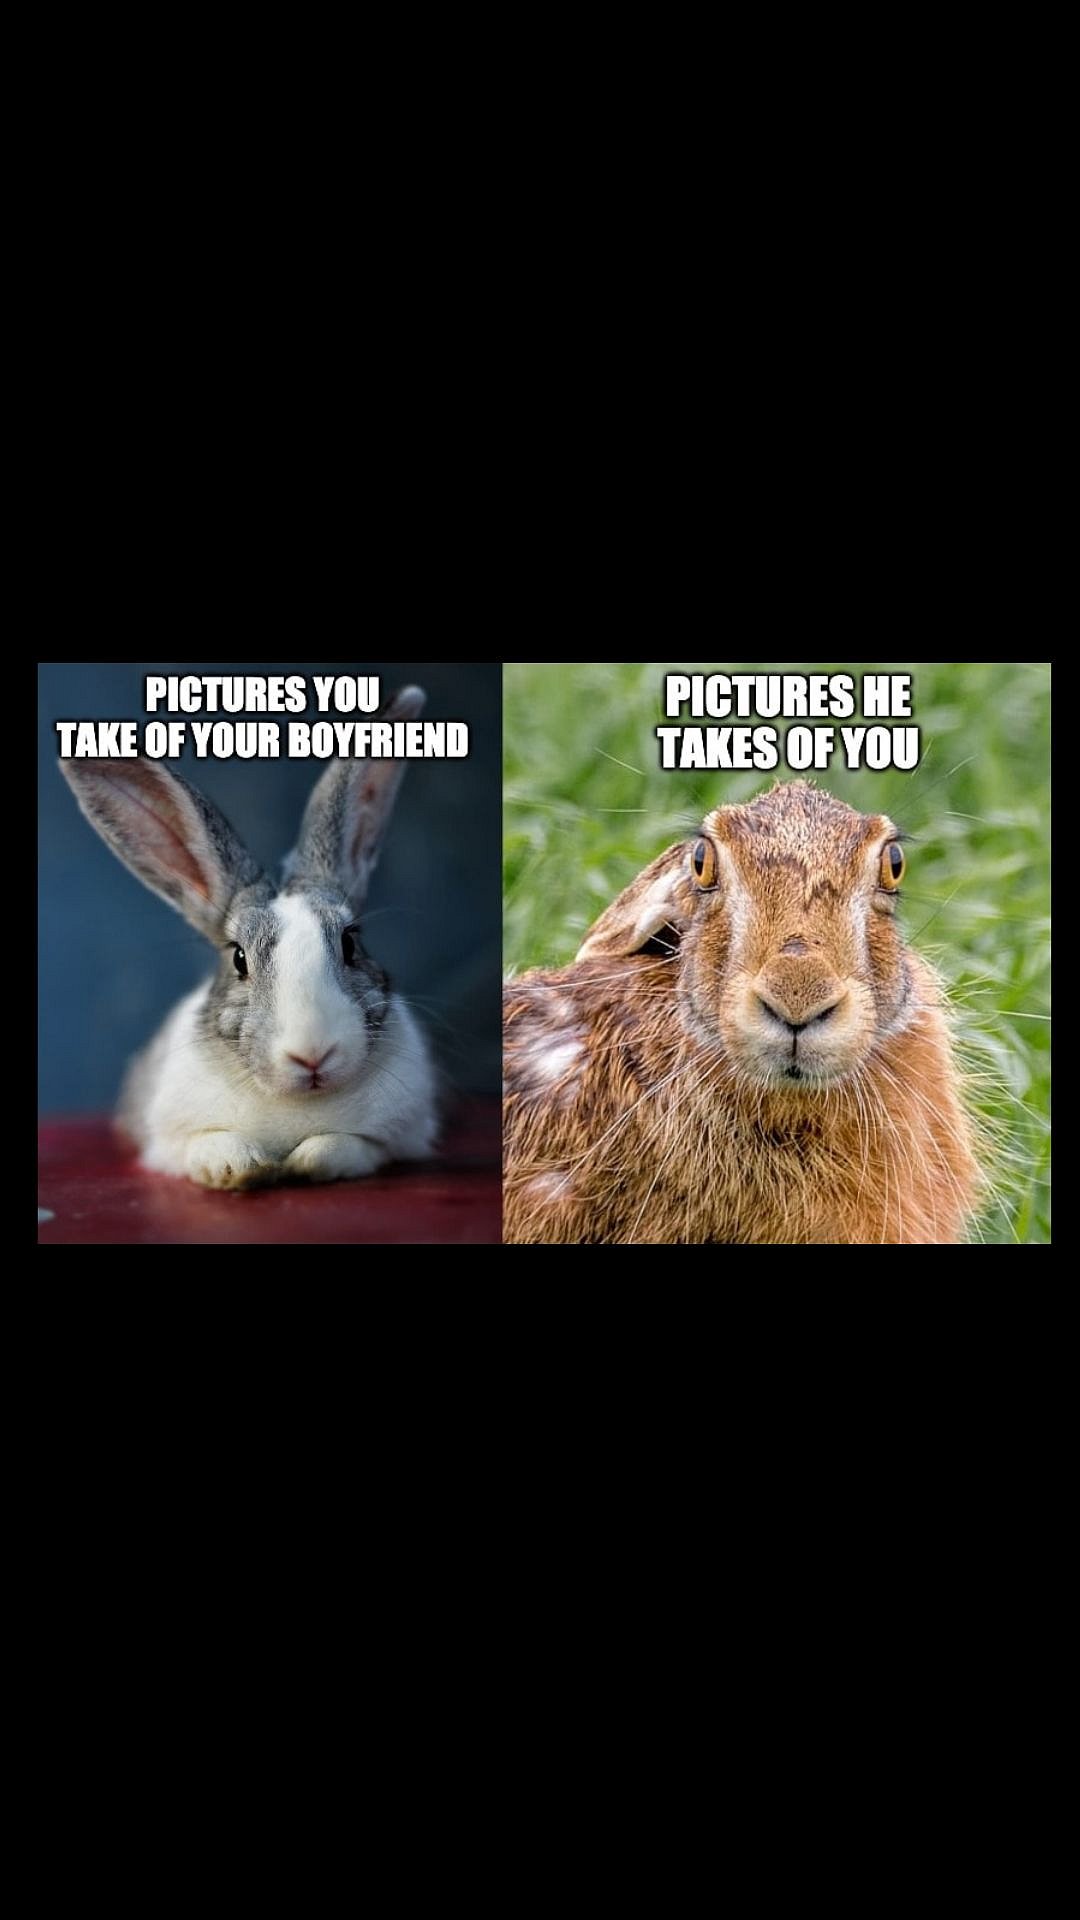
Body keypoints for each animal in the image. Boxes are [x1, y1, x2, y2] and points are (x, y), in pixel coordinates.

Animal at [60, 686, 437, 1190]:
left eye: (350, 943)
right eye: (239, 959)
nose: (312, 1054)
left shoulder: (394, 1138)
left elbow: (343, 1147)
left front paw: (303, 1161)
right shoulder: (168, 1142)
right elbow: (210, 1146)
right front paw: (241, 1167)